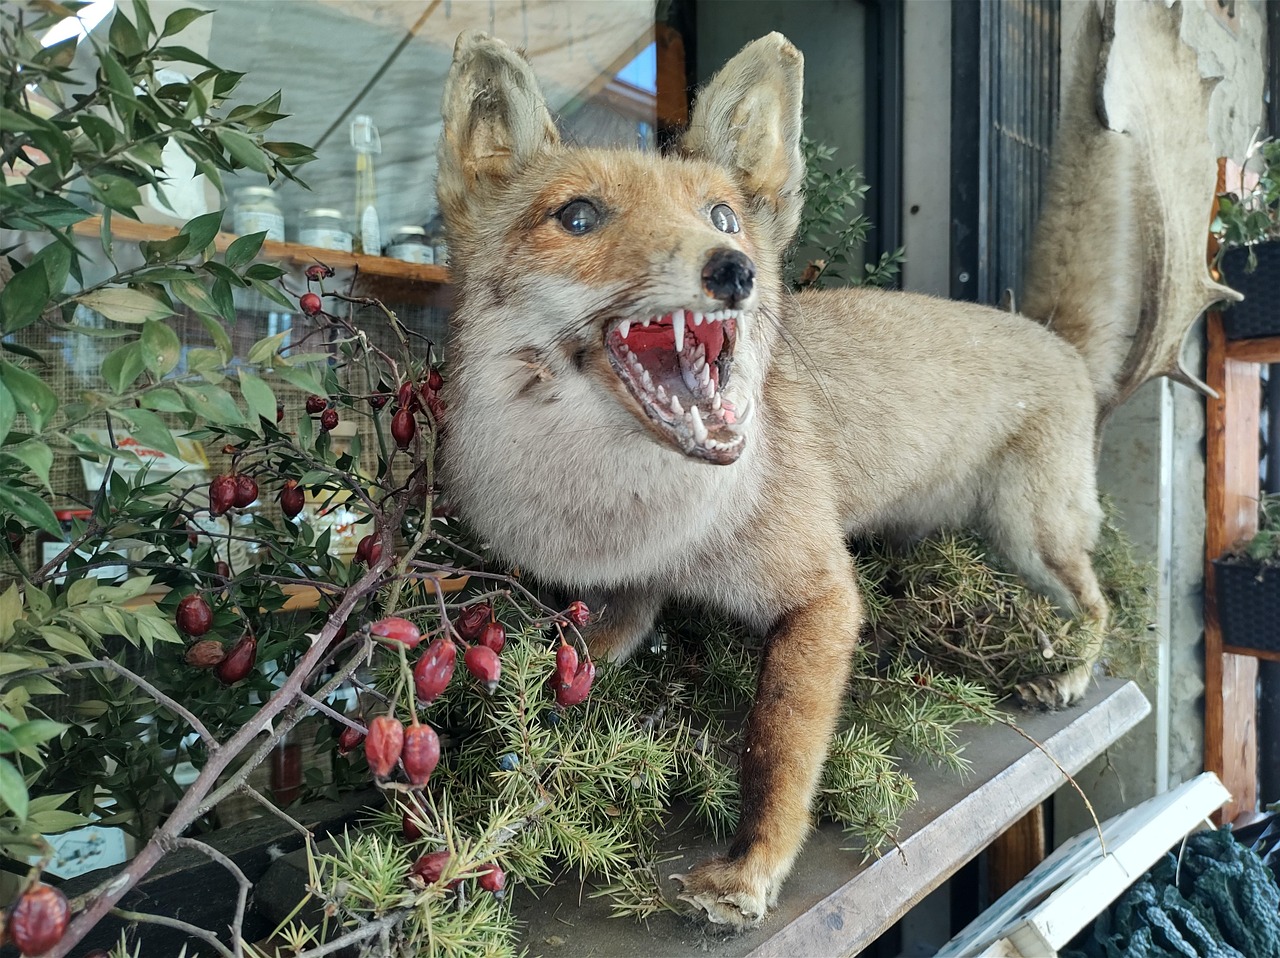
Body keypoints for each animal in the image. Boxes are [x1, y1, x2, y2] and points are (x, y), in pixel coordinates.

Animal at [434, 9, 1232, 928]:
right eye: (577, 217)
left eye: (723, 215)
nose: (733, 270)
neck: (646, 516)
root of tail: (1054, 340)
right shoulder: (629, 598)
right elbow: (576, 664)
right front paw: (505, 751)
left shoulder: (821, 595)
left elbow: (776, 743)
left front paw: (750, 869)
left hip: (1035, 534)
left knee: (1098, 598)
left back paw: (1066, 669)